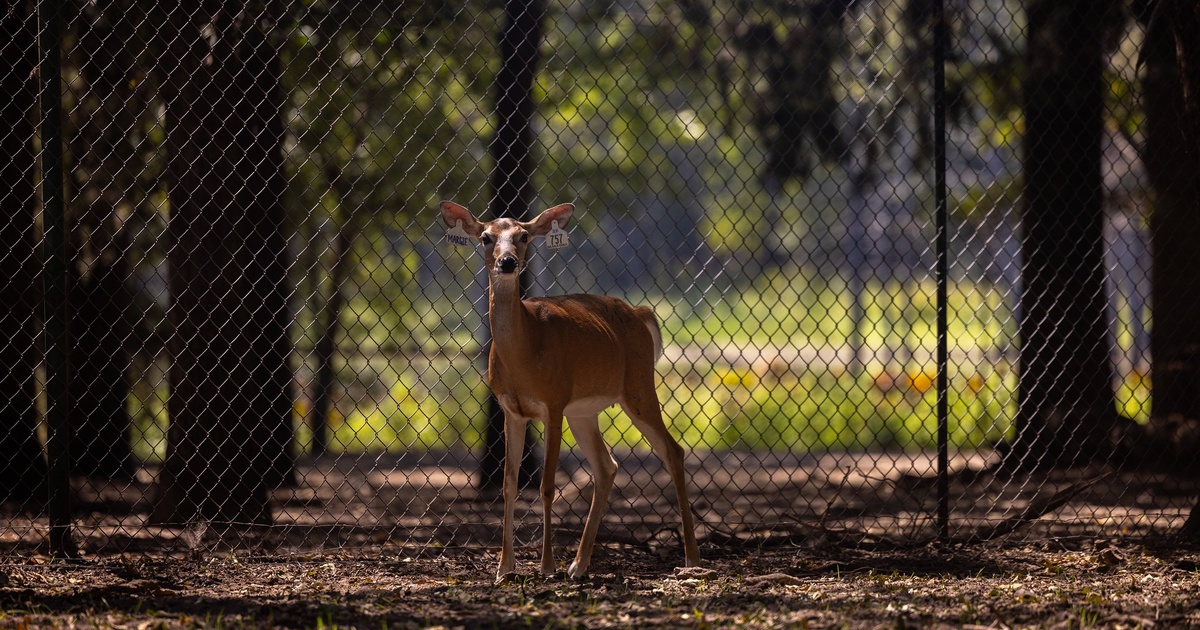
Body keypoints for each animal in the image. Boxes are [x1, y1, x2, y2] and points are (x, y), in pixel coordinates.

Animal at [438, 200, 701, 582]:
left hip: (637, 387)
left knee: (673, 450)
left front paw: (547, 565)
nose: (508, 262)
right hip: (584, 412)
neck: (526, 351)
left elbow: (547, 486)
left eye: (524, 236)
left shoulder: (554, 402)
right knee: (607, 466)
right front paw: (504, 568)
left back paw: (692, 558)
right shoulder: (511, 410)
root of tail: (640, 313)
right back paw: (579, 564)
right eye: (485, 237)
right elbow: (508, 484)